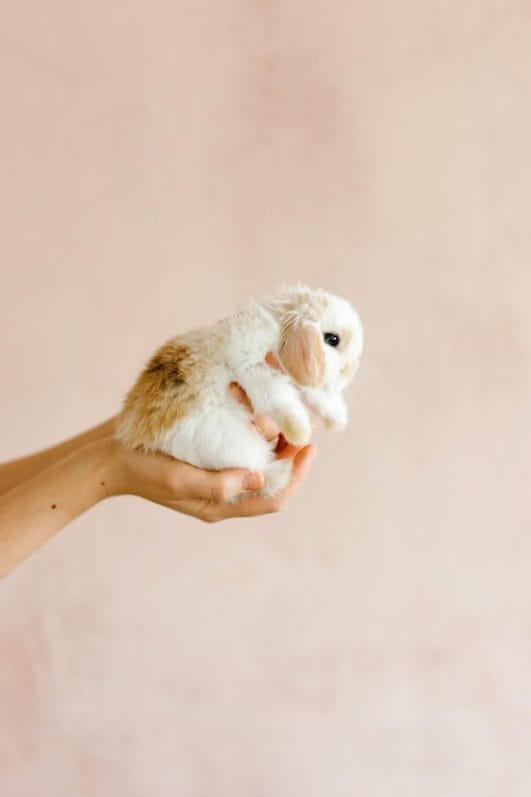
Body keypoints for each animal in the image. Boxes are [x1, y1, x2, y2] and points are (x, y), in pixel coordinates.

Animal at [115, 284, 363, 497]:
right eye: (332, 339)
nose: (350, 372)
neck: (278, 329)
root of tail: (137, 434)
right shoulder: (258, 372)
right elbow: (281, 403)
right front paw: (299, 433)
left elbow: (320, 399)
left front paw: (338, 423)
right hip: (228, 444)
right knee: (258, 467)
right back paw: (282, 473)